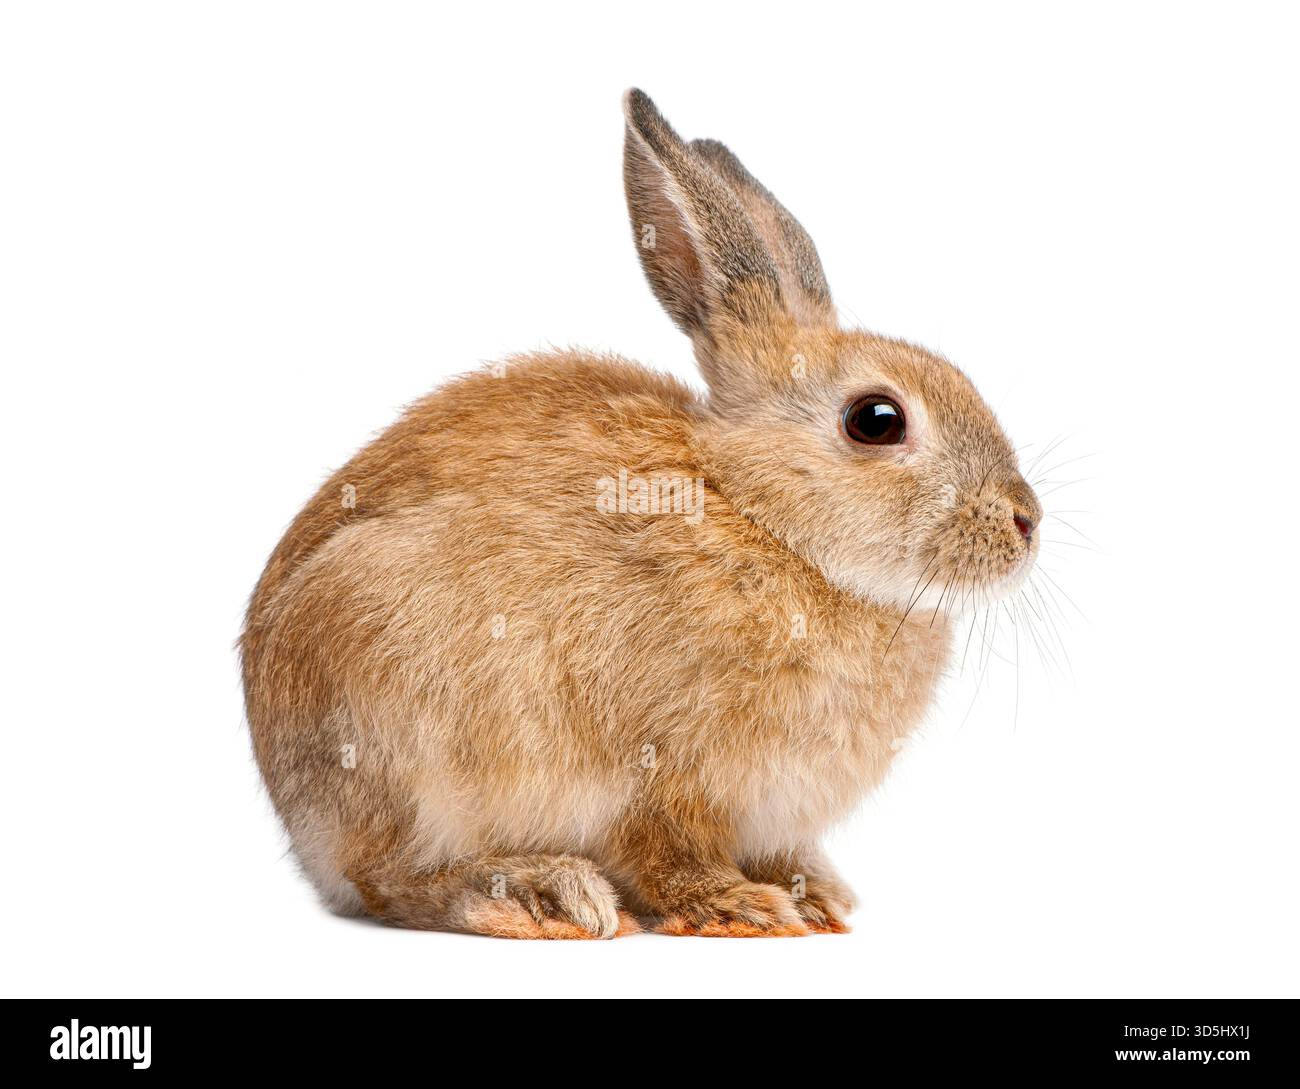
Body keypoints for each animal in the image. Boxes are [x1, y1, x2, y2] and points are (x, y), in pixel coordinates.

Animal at [241, 89, 1042, 938]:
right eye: (877, 419)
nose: (1026, 521)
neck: (760, 516)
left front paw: (817, 894)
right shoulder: (660, 776)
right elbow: (666, 851)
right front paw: (741, 906)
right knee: (387, 878)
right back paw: (537, 890)